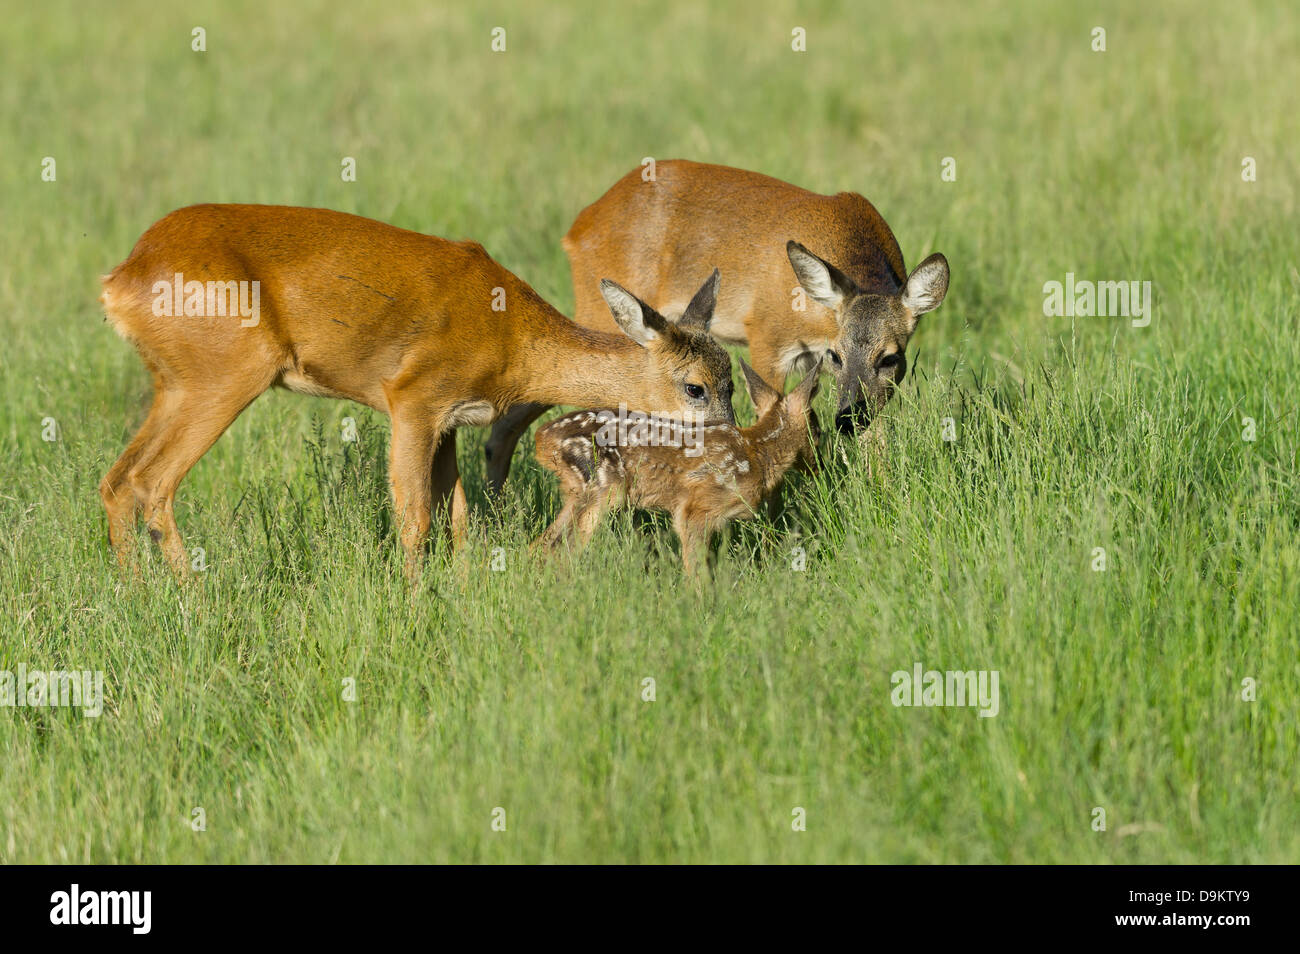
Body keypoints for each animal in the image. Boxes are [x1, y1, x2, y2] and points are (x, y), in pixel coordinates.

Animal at [97, 204, 736, 580]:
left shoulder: (449, 419)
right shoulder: (413, 396)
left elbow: (457, 512)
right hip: (226, 372)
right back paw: (190, 593)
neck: (514, 342)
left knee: (117, 479)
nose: (734, 440)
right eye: (696, 387)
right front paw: (411, 602)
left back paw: (135, 589)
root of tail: (119, 281)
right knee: (152, 481)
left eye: (732, 377)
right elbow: (415, 517)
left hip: (174, 382)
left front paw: (460, 585)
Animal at [484, 159, 950, 493]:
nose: (848, 422)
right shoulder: (767, 337)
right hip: (599, 318)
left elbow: (876, 438)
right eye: (836, 354)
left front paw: (879, 490)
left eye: (892, 357)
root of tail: (576, 229)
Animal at [533, 357, 822, 576]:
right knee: (564, 550)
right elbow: (696, 570)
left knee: (541, 544)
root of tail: (541, 439)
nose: (819, 466)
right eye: (818, 430)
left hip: (577, 491)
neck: (757, 452)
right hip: (604, 488)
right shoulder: (695, 508)